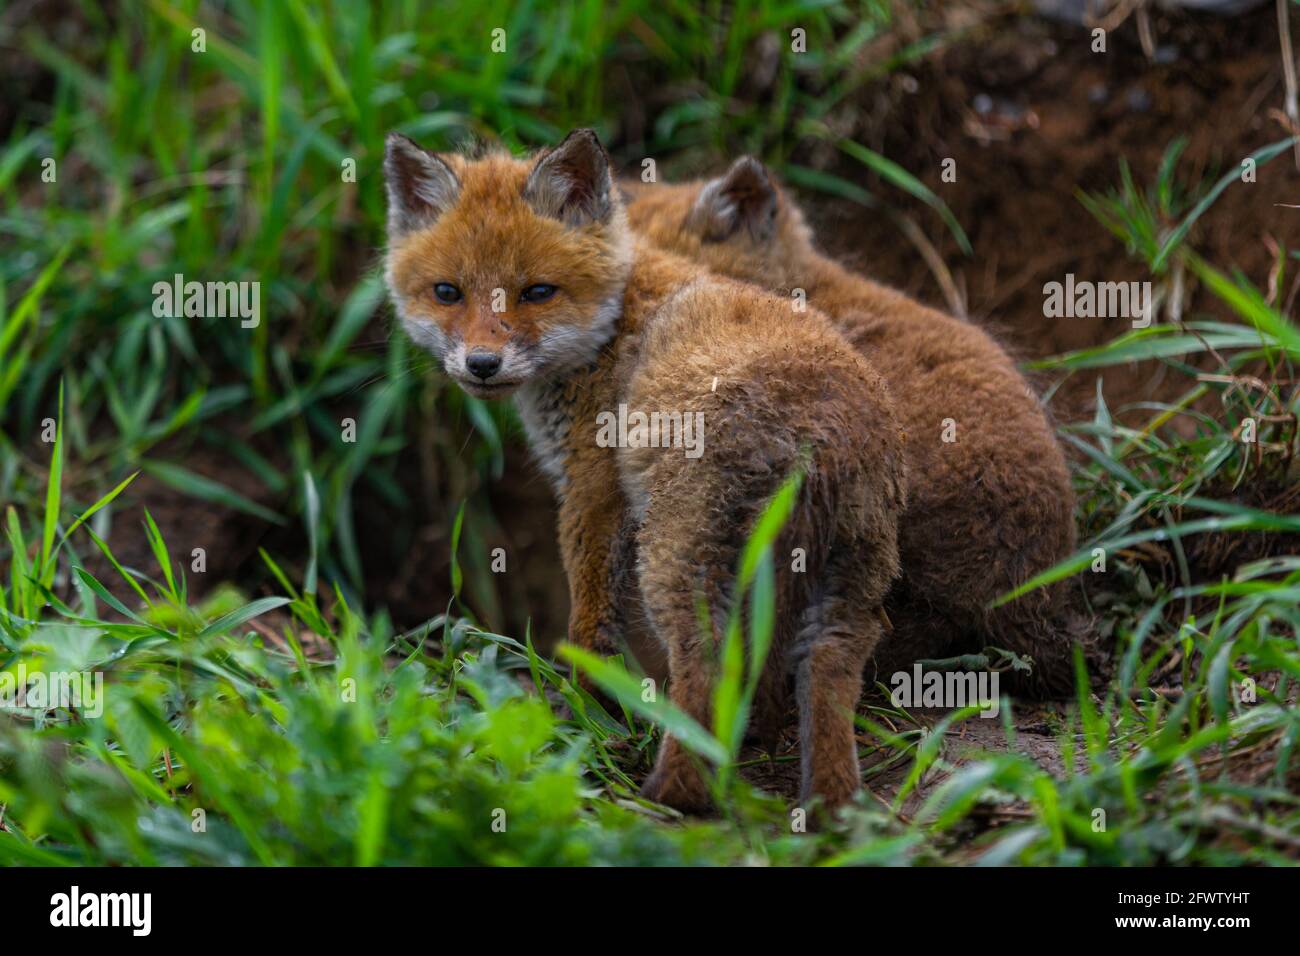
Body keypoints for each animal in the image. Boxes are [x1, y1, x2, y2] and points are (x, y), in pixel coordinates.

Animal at [382, 129, 909, 812]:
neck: (612, 328)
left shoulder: (592, 493)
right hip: (849, 585)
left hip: (676, 560)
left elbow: (590, 626)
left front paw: (583, 709)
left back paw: (673, 792)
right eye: (448, 292)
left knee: (705, 668)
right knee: (828, 673)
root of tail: (817, 427)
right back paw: (828, 806)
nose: (482, 364)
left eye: (537, 292)